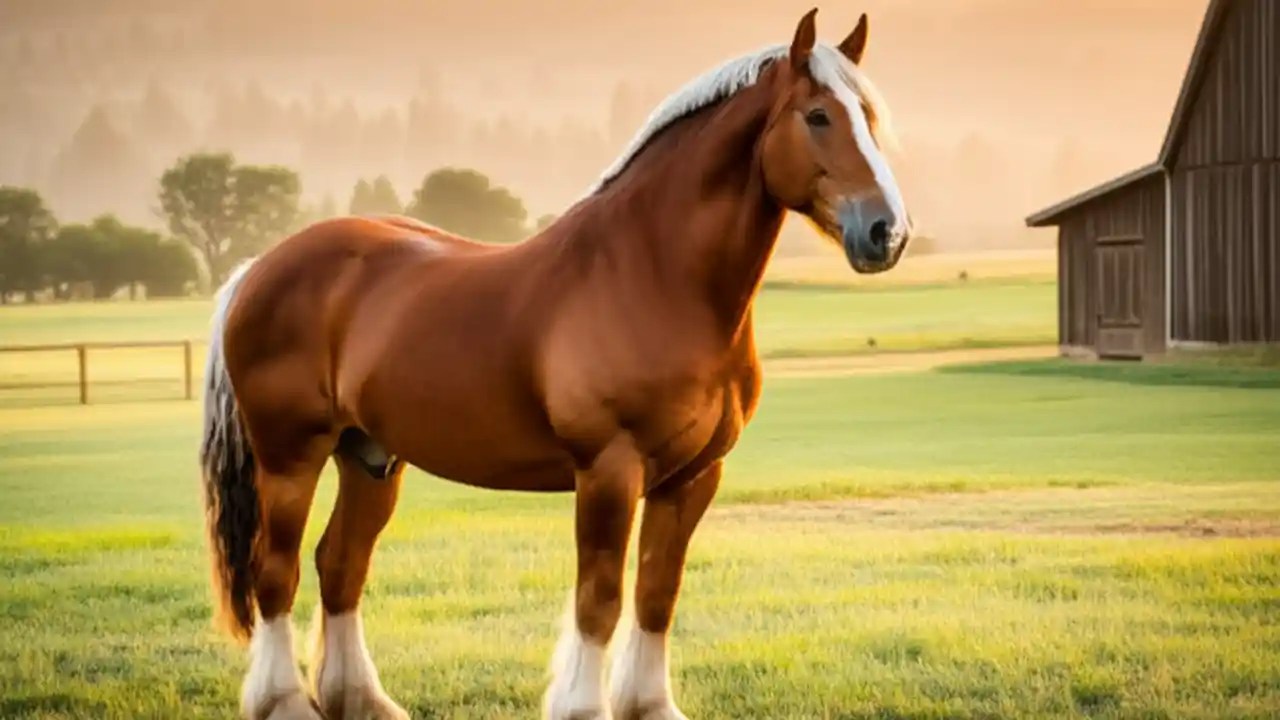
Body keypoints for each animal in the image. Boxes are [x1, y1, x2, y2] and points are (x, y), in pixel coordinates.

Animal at [199, 8, 912, 719]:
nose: (888, 233)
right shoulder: (609, 470)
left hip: (370, 458)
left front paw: (650, 703)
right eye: (817, 116)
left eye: (870, 118)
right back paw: (284, 701)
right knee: (276, 572)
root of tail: (255, 270)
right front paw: (583, 705)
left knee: (340, 563)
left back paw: (362, 699)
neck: (652, 276)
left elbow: (658, 594)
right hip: (291, 458)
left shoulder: (692, 478)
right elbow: (600, 601)